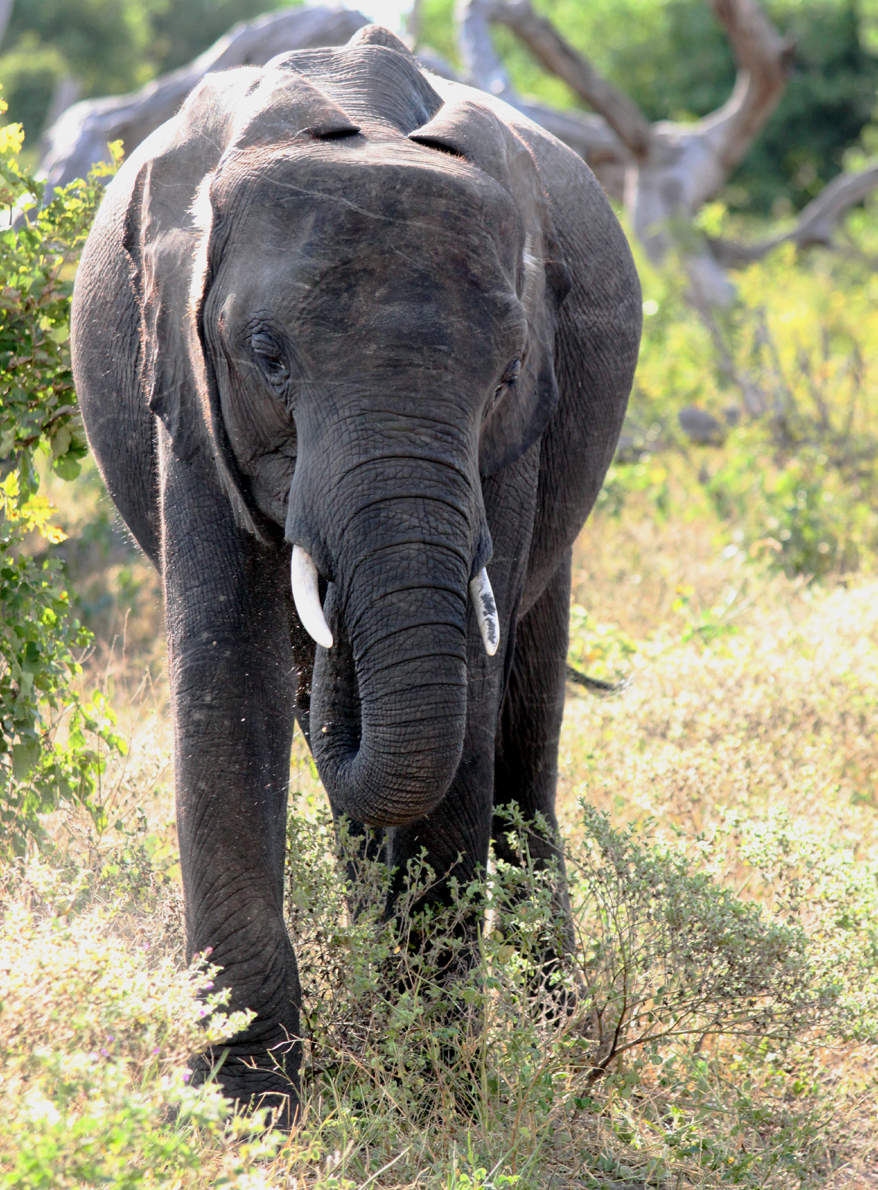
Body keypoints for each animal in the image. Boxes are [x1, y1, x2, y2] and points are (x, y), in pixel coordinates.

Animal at [70, 24, 641, 1123]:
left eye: (508, 371)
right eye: (267, 354)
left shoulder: (512, 443)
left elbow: (464, 706)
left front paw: (435, 1100)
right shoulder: (188, 392)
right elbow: (229, 681)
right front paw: (246, 1108)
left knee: (521, 745)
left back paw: (560, 1043)